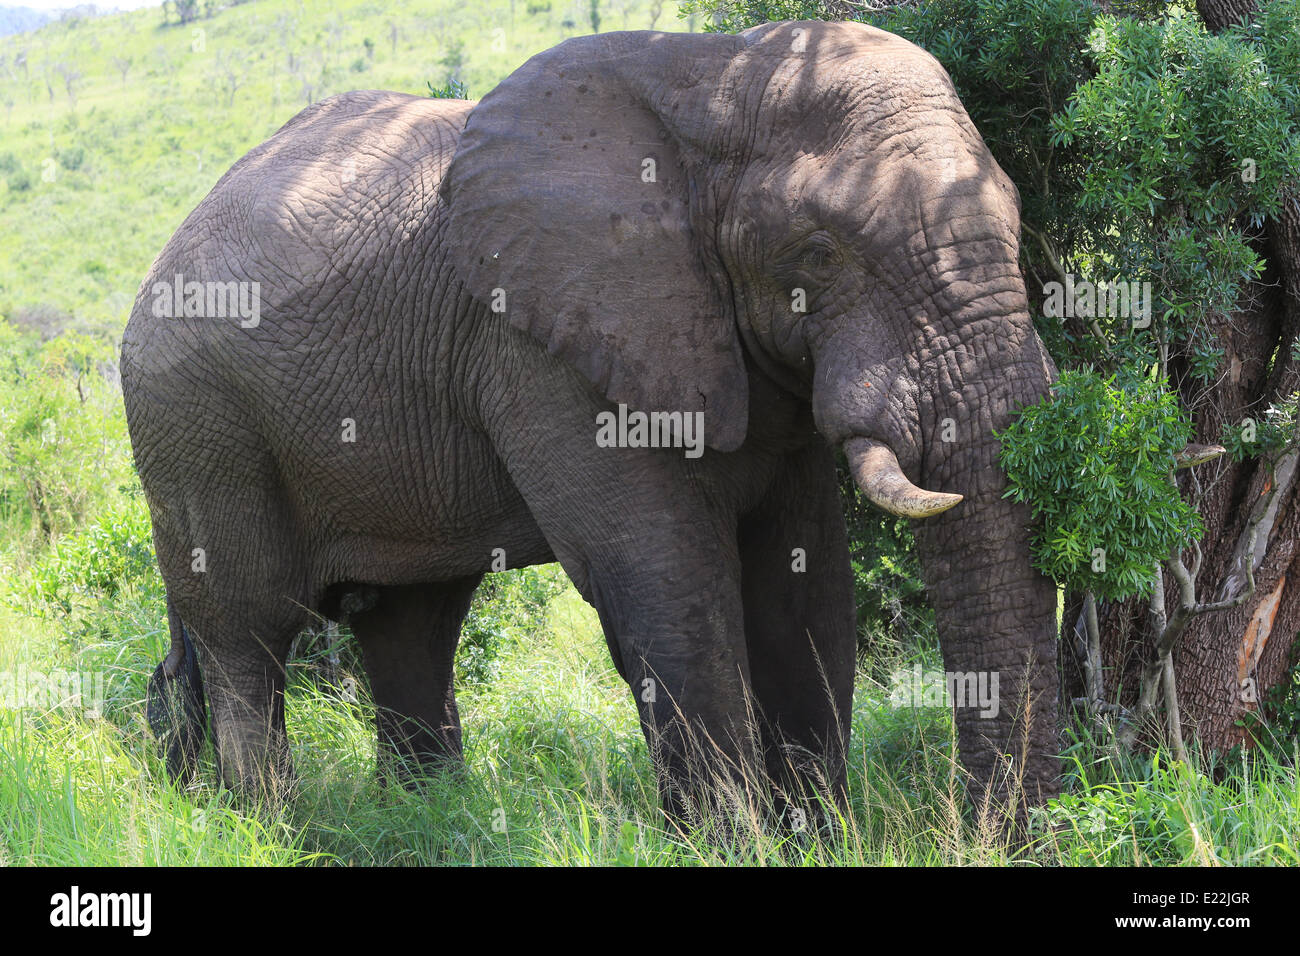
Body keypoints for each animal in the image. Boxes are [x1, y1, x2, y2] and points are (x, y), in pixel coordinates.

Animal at [123, 20, 1061, 827]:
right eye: (819, 254)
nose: (998, 835)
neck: (717, 75)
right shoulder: (540, 346)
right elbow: (667, 583)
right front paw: (731, 843)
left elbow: (805, 586)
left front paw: (815, 838)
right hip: (193, 426)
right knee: (248, 634)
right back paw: (269, 825)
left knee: (409, 626)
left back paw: (427, 821)